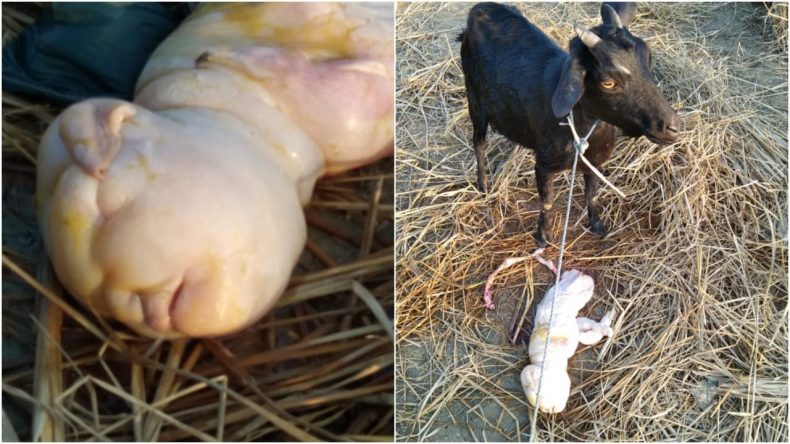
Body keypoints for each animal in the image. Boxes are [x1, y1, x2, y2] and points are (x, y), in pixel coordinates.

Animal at [457, 2, 679, 246]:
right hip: (475, 101)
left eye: (648, 59)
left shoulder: (594, 162)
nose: (672, 127)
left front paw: (597, 225)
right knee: (478, 143)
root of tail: (480, 8)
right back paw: (483, 185)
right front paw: (542, 237)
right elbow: (547, 201)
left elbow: (592, 195)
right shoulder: (544, 164)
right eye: (608, 82)